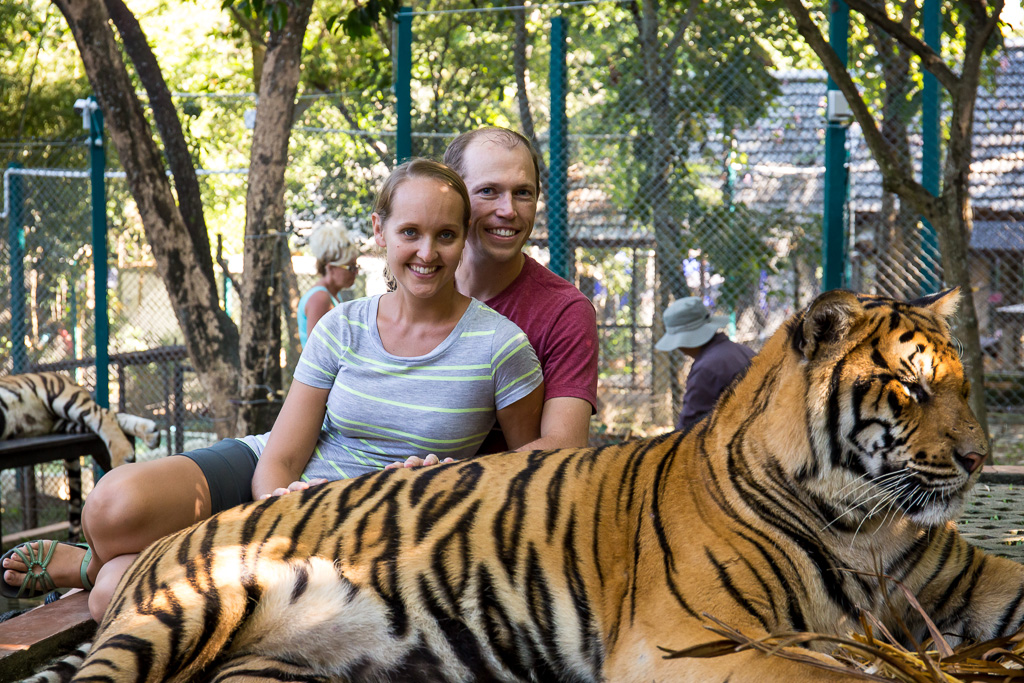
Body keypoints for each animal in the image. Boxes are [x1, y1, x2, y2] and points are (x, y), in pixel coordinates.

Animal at [0, 371, 160, 468]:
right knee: (111, 416)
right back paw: (151, 432)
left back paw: (122, 458)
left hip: (62, 397)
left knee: (103, 414)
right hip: (62, 422)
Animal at [59, 288, 1022, 683]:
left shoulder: (960, 578)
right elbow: (854, 675)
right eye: (912, 386)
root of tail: (161, 544)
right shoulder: (694, 641)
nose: (981, 458)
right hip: (184, 612)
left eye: (964, 382)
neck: (862, 523)